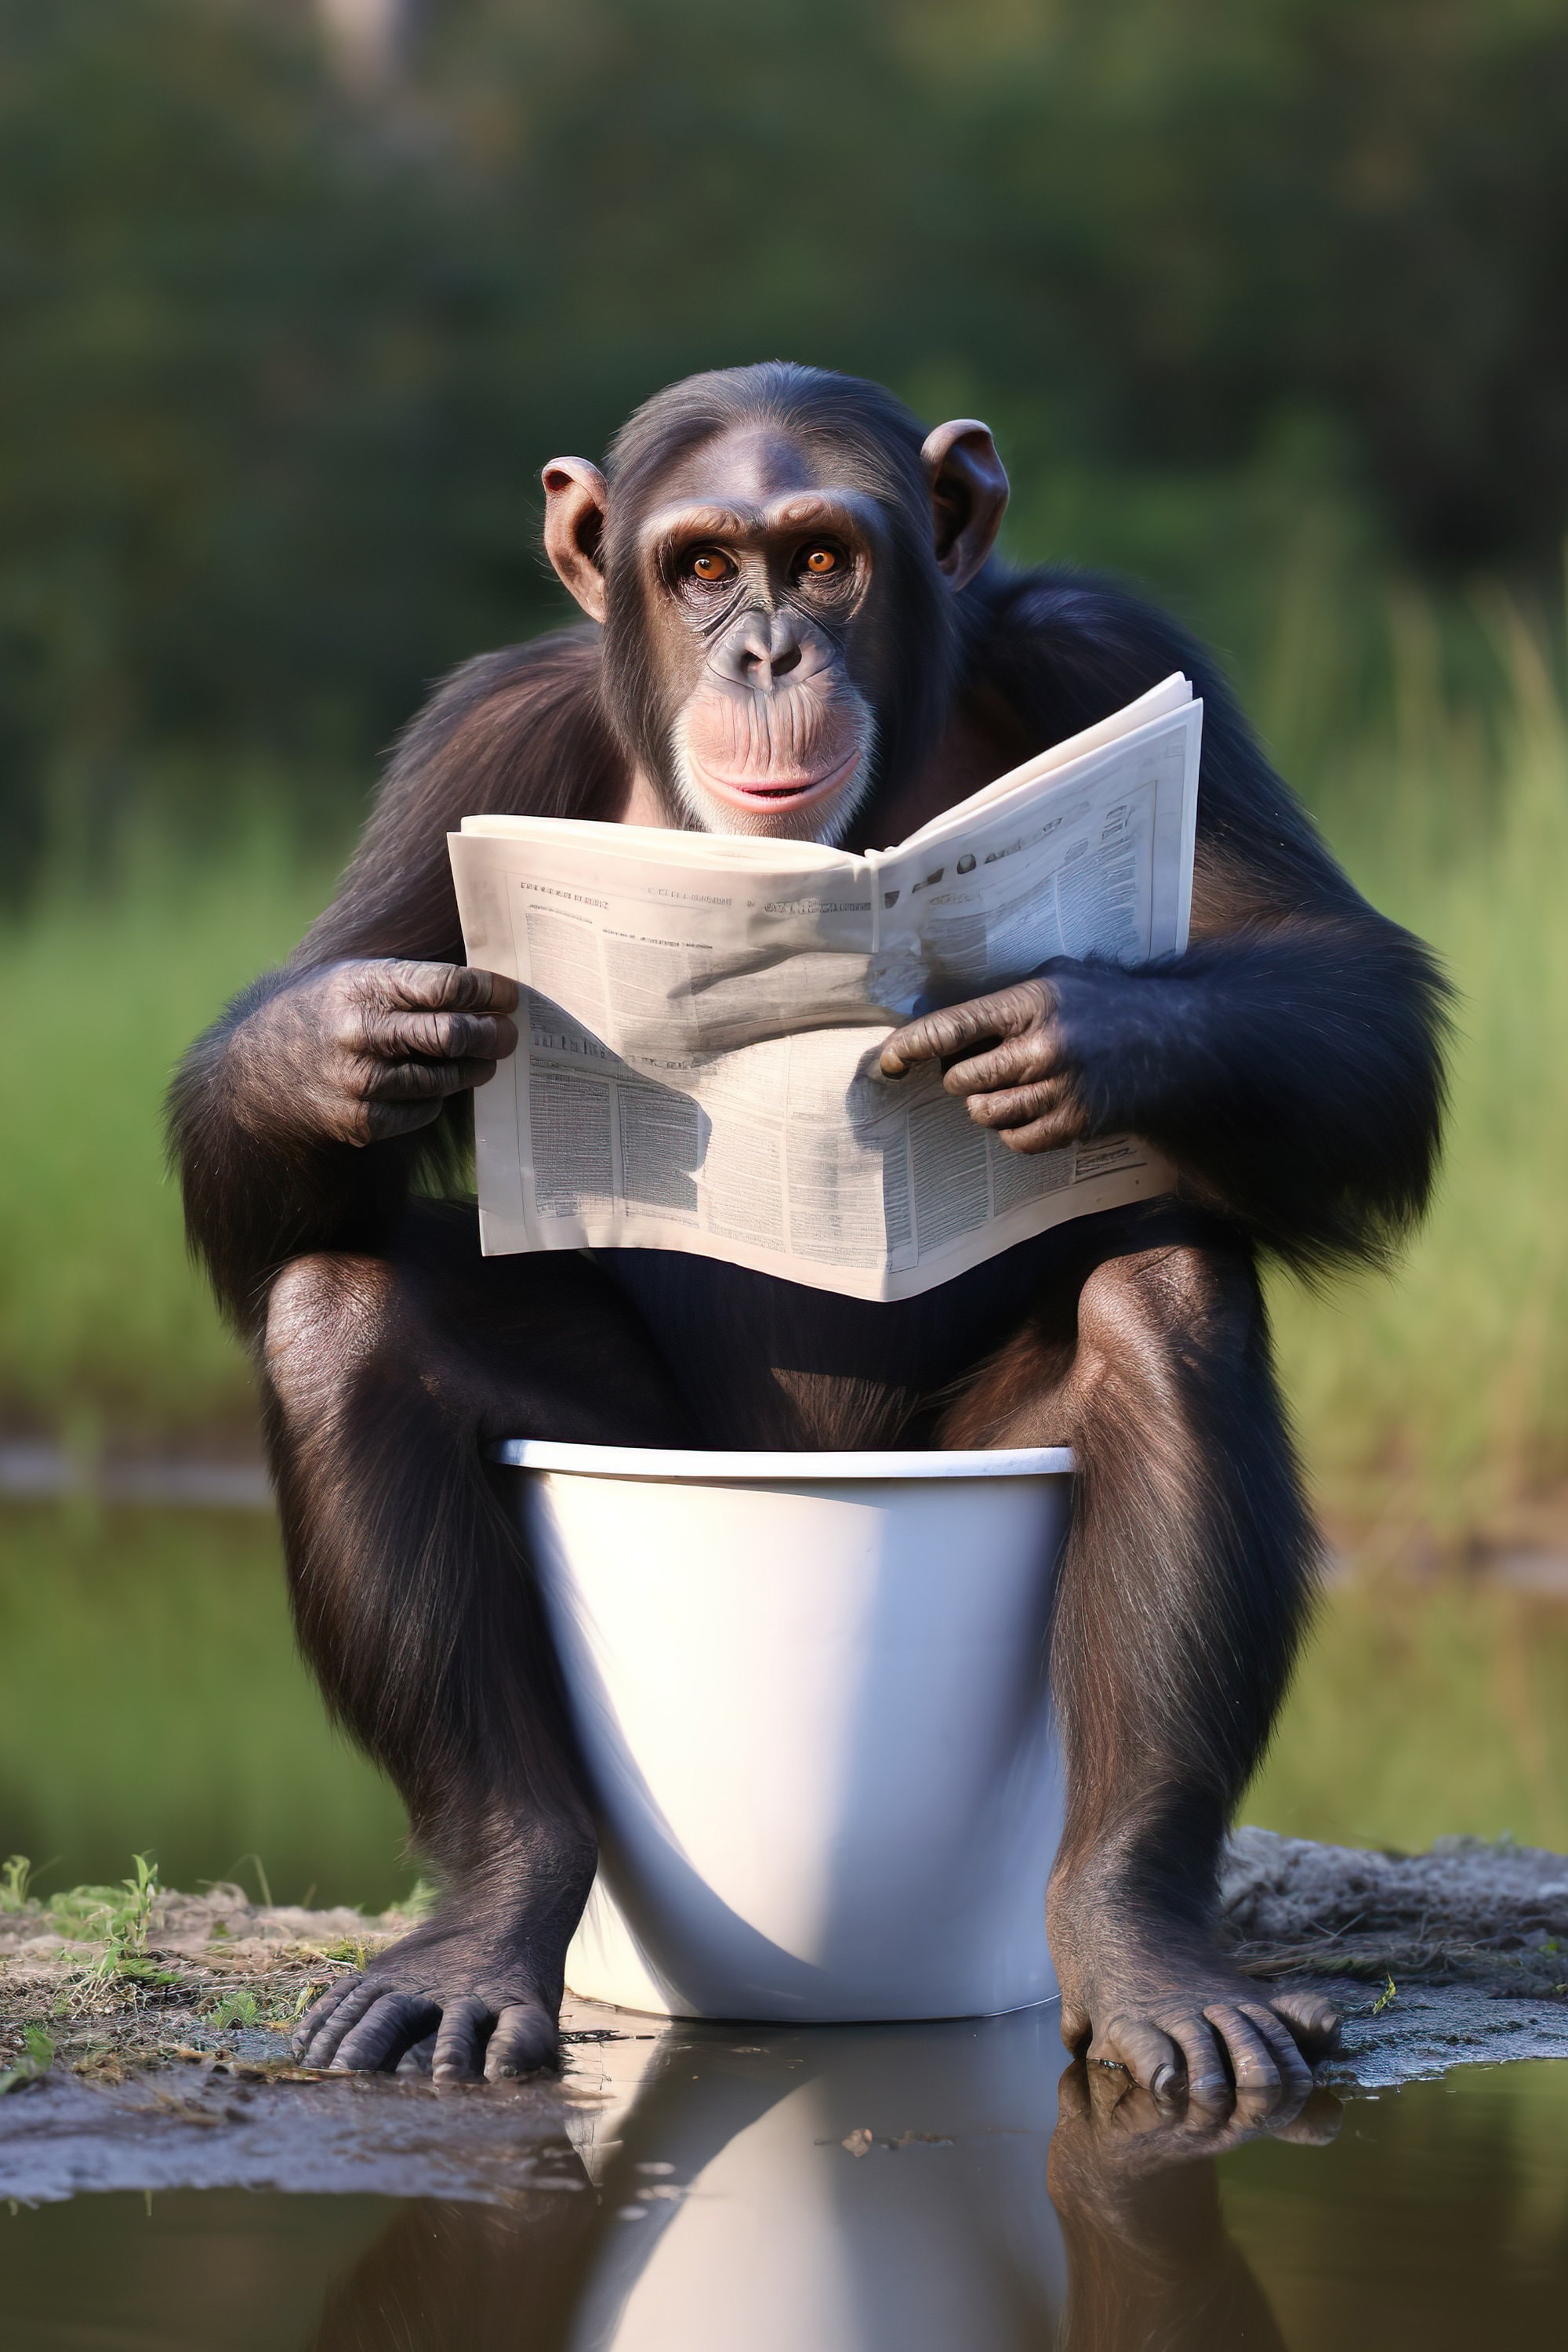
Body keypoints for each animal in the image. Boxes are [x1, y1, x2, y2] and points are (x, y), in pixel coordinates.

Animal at [169, 363, 1447, 2096]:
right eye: (704, 566)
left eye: (825, 559)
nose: (767, 650)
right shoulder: (474, 742)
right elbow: (289, 1189)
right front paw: (353, 1039)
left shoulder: (1118, 655)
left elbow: (1347, 983)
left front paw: (1071, 1026)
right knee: (340, 1318)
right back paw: (490, 1912)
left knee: (1164, 1309)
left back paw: (1140, 1943)